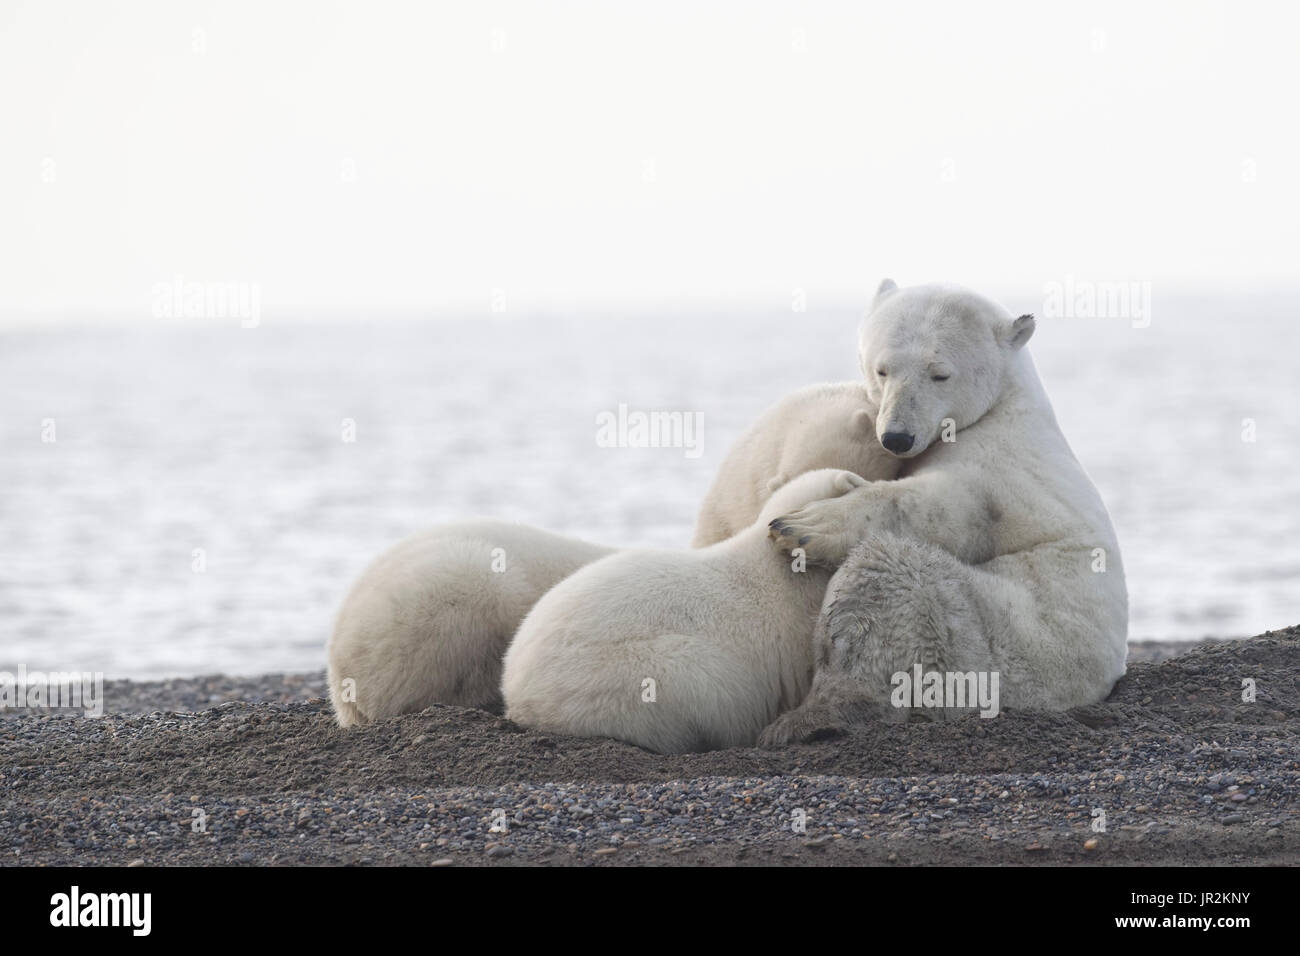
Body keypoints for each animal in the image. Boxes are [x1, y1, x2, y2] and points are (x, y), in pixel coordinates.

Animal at [761, 279, 1128, 745]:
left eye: (939, 373)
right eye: (882, 369)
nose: (897, 437)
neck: (1006, 404)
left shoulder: (999, 469)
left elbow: (937, 507)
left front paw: (803, 526)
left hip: (997, 645)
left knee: (894, 573)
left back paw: (812, 715)